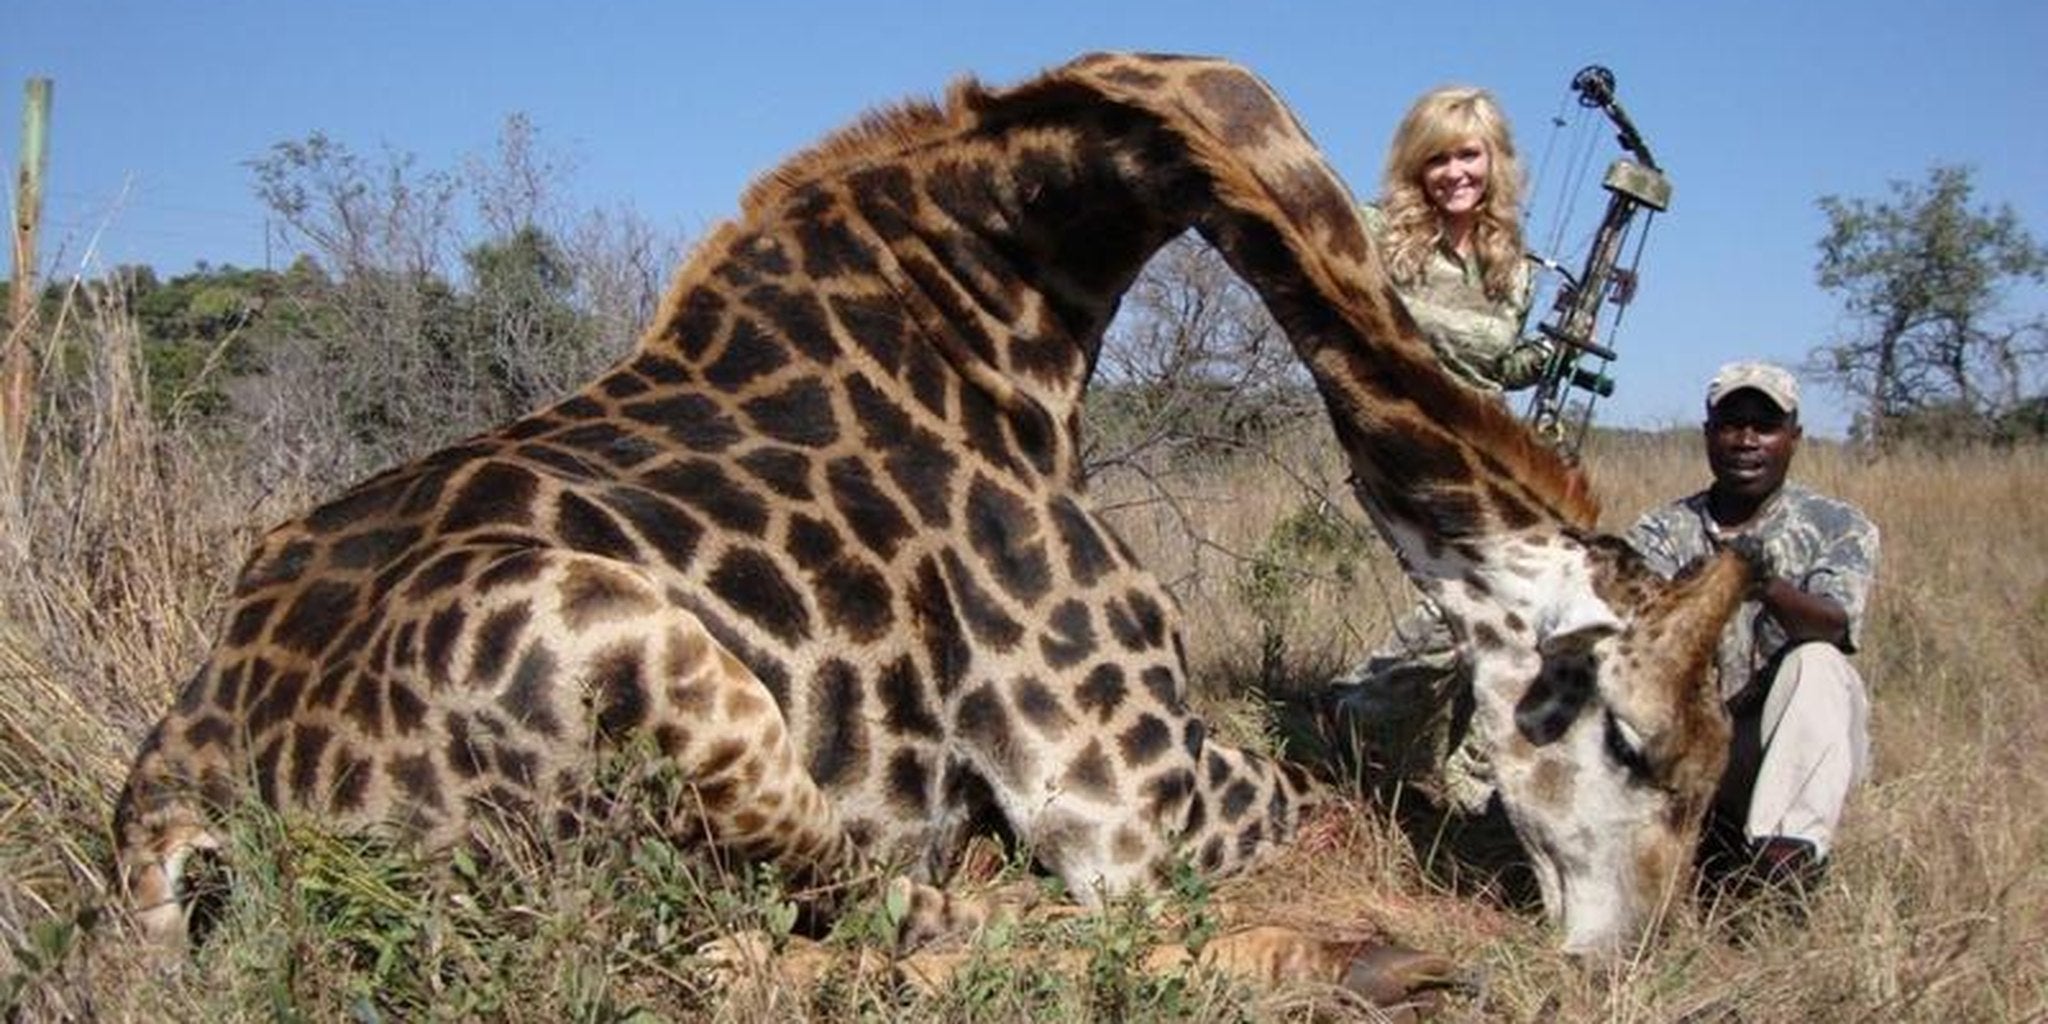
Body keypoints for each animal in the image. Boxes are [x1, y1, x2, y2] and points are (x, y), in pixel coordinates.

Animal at [113, 51, 1748, 996]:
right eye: (1638, 746)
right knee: (847, 929)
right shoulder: (1126, 800)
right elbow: (1325, 798)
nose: (1626, 967)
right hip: (646, 667)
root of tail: (179, 803)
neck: (1024, 287)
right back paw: (1357, 958)